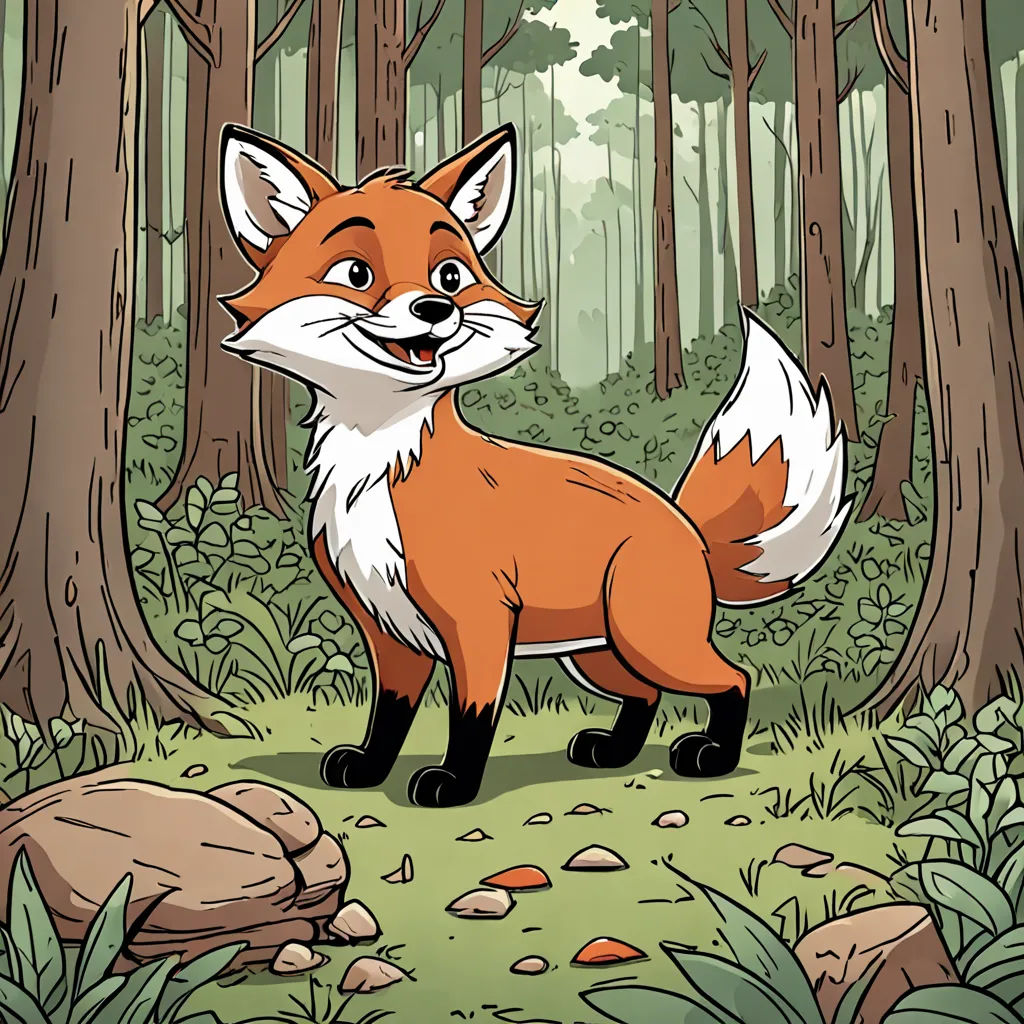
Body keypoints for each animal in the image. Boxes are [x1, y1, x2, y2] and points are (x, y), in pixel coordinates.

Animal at [216, 121, 852, 808]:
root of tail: (687, 529)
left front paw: (452, 784)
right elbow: (388, 715)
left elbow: (472, 714)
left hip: (647, 638)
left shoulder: (479, 620)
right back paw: (613, 751)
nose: (434, 310)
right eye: (356, 273)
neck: (381, 464)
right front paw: (366, 769)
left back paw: (711, 757)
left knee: (732, 679)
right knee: (645, 694)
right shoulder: (386, 630)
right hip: (597, 652)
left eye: (449, 275)